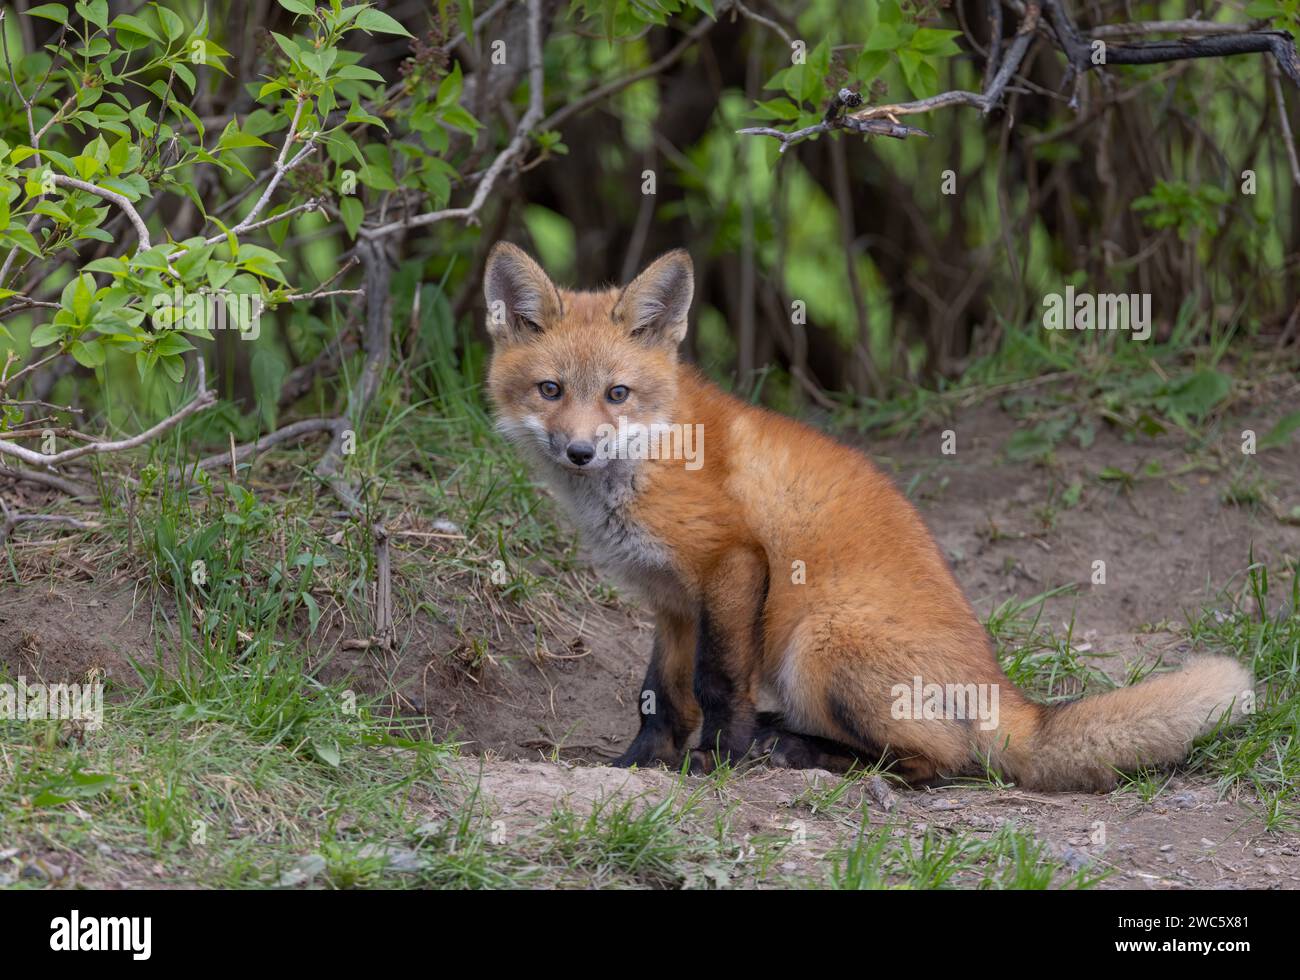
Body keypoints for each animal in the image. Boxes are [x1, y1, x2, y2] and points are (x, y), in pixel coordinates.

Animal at [482, 241, 1253, 791]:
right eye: (550, 390)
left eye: (617, 394)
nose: (581, 451)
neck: (655, 451)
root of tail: (1005, 691)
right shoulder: (673, 601)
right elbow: (660, 694)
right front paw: (639, 764)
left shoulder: (732, 564)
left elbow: (717, 683)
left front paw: (718, 761)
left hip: (819, 645)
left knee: (940, 761)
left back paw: (806, 754)